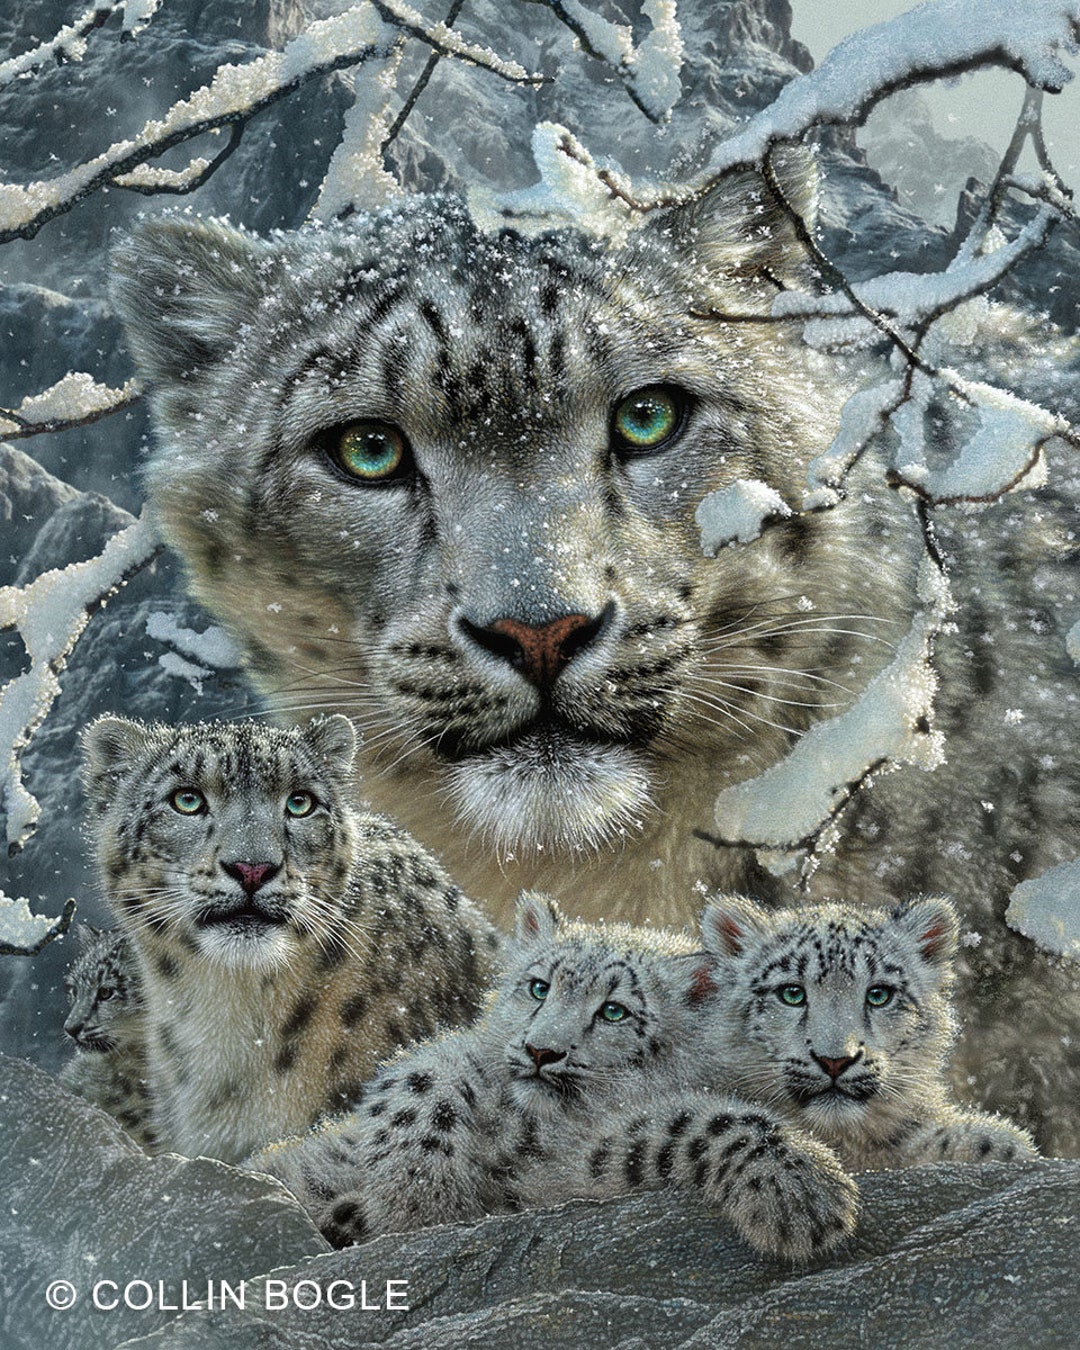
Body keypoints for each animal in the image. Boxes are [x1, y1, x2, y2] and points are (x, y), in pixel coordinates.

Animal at [250, 891, 859, 1264]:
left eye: (614, 1011)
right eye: (539, 986)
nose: (541, 1051)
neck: (525, 1131)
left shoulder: (577, 1165)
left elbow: (696, 1122)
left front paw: (808, 1192)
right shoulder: (453, 1060)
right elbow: (421, 1086)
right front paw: (419, 1199)